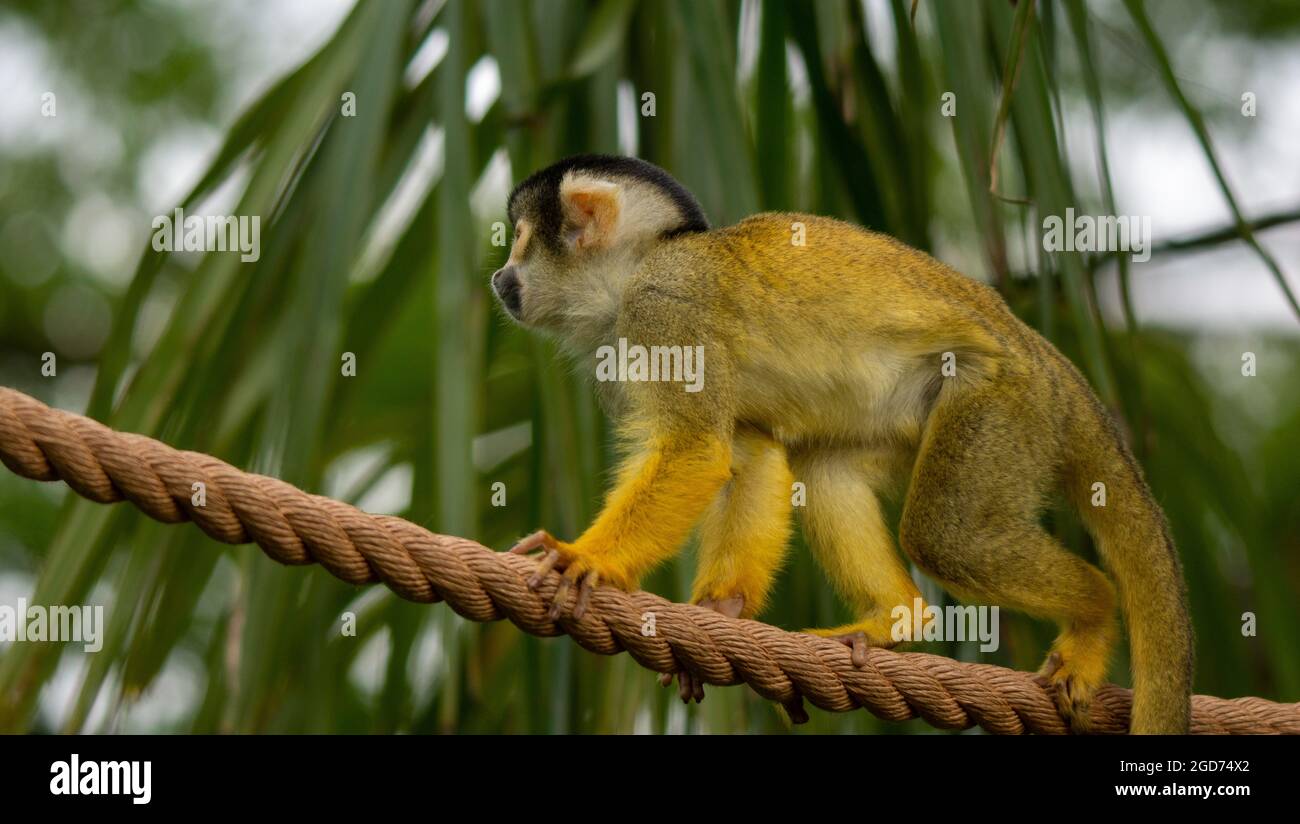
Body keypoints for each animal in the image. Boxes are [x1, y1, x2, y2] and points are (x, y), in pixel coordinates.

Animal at [493, 153, 1193, 734]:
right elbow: (745, 452)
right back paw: (894, 618)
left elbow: (697, 451)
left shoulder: (667, 306)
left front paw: (585, 560)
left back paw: (1094, 610)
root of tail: (1051, 364)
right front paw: (724, 609)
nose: (500, 278)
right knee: (826, 468)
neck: (637, 268)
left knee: (947, 537)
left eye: (521, 239)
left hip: (1002, 403)